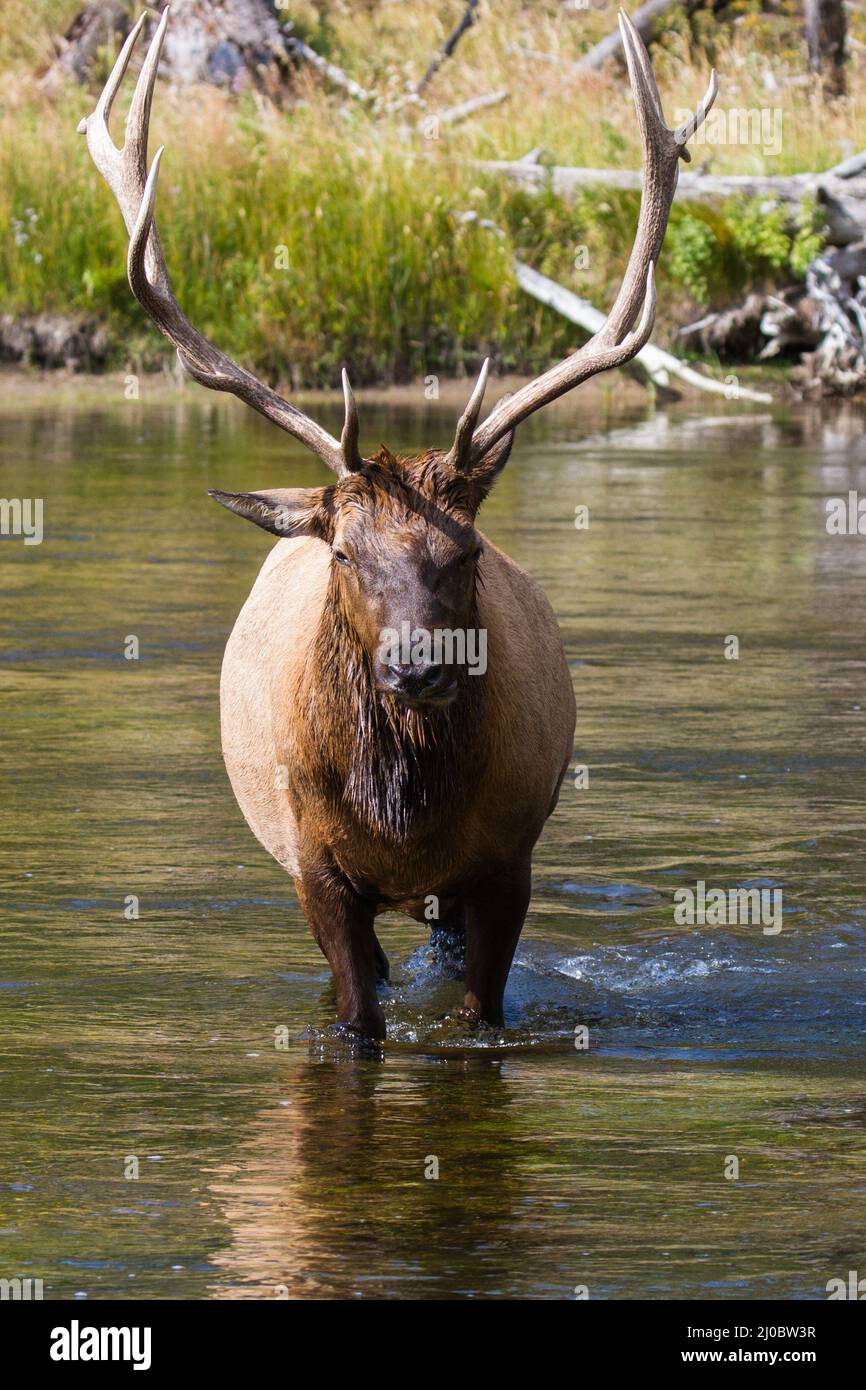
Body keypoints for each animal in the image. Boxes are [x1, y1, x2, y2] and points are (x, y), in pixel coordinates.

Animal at [79, 8, 717, 1040]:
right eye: (343, 551)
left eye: (467, 551)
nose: (420, 669)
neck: (402, 820)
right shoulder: (315, 870)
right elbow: (357, 1023)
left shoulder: (505, 865)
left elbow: (480, 1019)